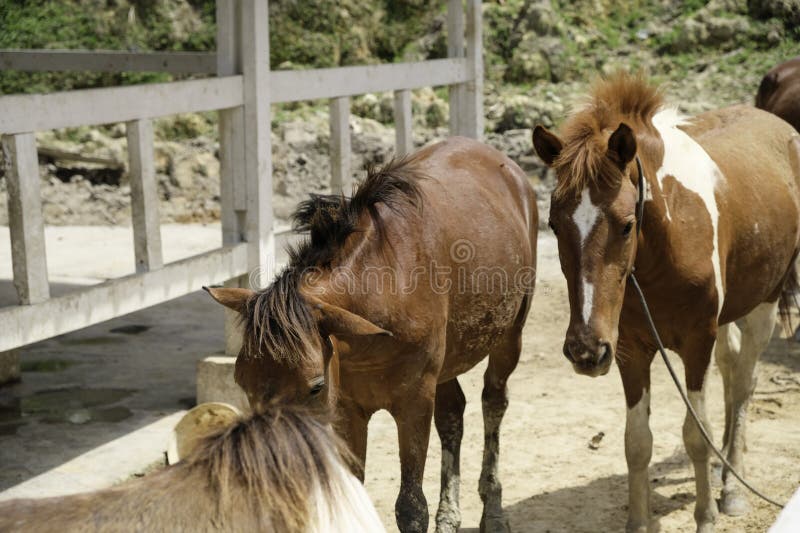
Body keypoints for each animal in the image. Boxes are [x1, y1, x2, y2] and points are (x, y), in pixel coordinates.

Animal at [206, 136, 538, 533]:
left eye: (314, 387)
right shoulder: (347, 409)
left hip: (510, 337)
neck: (384, 286)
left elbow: (411, 507)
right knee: (453, 415)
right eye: (241, 381)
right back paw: (449, 515)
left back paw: (493, 510)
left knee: (493, 403)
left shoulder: (413, 402)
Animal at [532, 72, 800, 532]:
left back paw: (732, 485)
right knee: (731, 368)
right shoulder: (628, 348)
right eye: (553, 223)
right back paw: (722, 467)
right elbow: (637, 441)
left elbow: (695, 434)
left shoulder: (696, 341)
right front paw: (639, 521)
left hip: (762, 304)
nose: (585, 350)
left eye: (626, 225)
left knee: (744, 384)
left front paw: (706, 516)